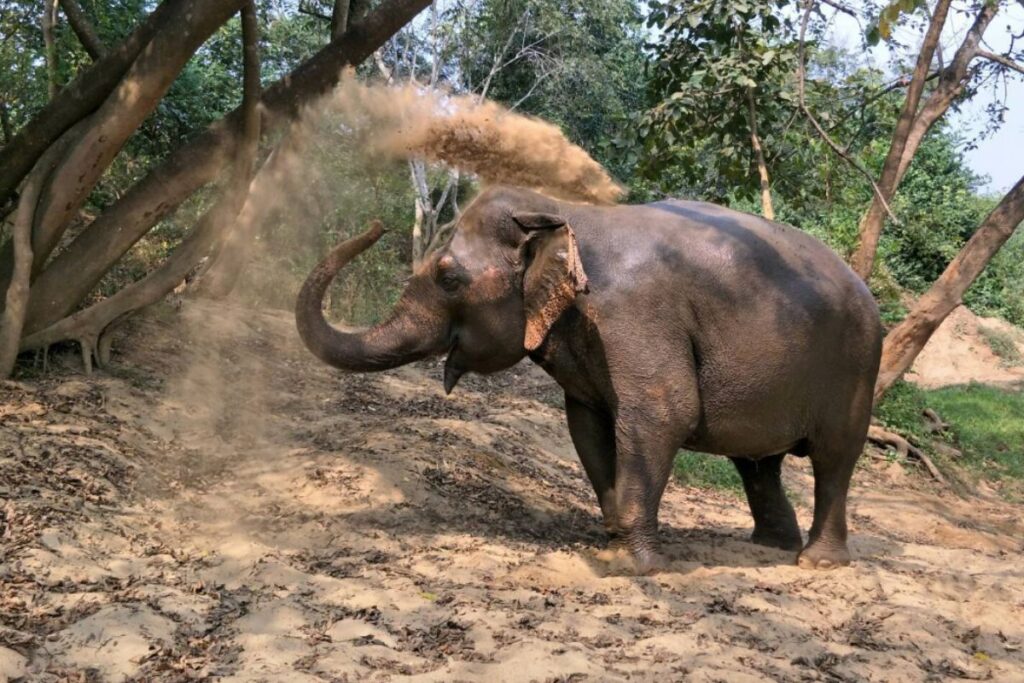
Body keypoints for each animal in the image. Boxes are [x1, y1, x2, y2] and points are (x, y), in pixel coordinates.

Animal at [295, 185, 882, 574]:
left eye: (448, 277)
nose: (376, 225)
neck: (565, 212)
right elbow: (587, 424)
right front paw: (613, 539)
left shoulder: (636, 315)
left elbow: (663, 413)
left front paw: (633, 566)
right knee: (758, 463)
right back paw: (768, 547)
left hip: (856, 369)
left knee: (834, 458)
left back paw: (816, 563)